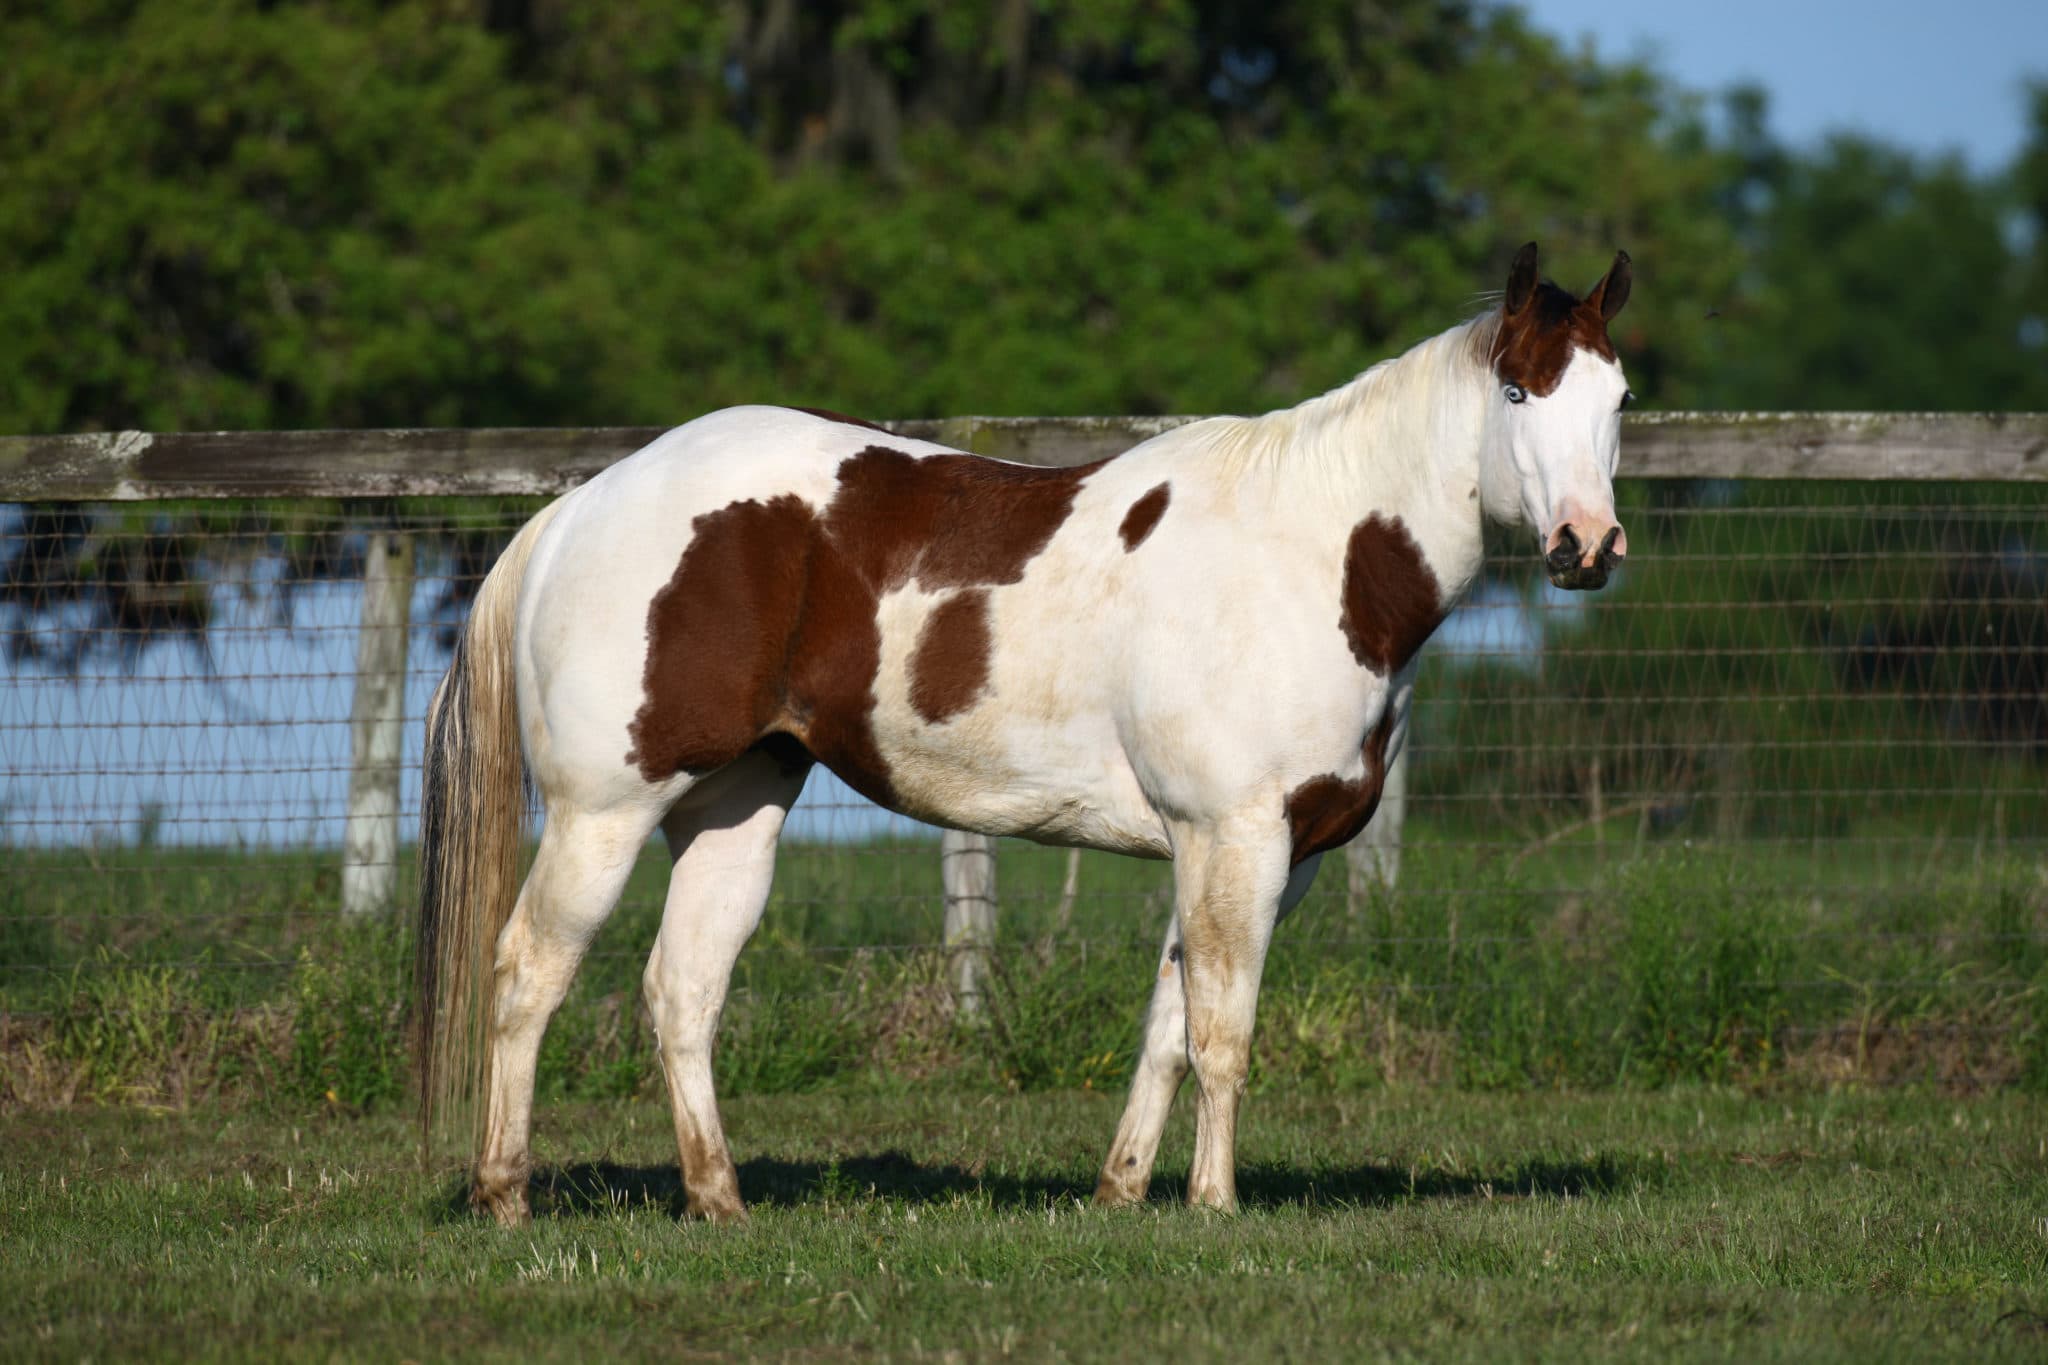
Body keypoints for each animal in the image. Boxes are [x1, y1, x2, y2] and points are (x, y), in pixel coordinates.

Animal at [415, 241, 1634, 1223]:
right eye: (1516, 389)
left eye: (1618, 396)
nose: (1587, 545)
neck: (1310, 555)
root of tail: (582, 505)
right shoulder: (1233, 837)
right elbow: (1222, 1034)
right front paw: (1215, 1203)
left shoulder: (1260, 858)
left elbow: (1167, 1025)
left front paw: (1124, 1191)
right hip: (604, 811)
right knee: (528, 973)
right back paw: (504, 1194)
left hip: (736, 806)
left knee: (682, 992)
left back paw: (719, 1201)